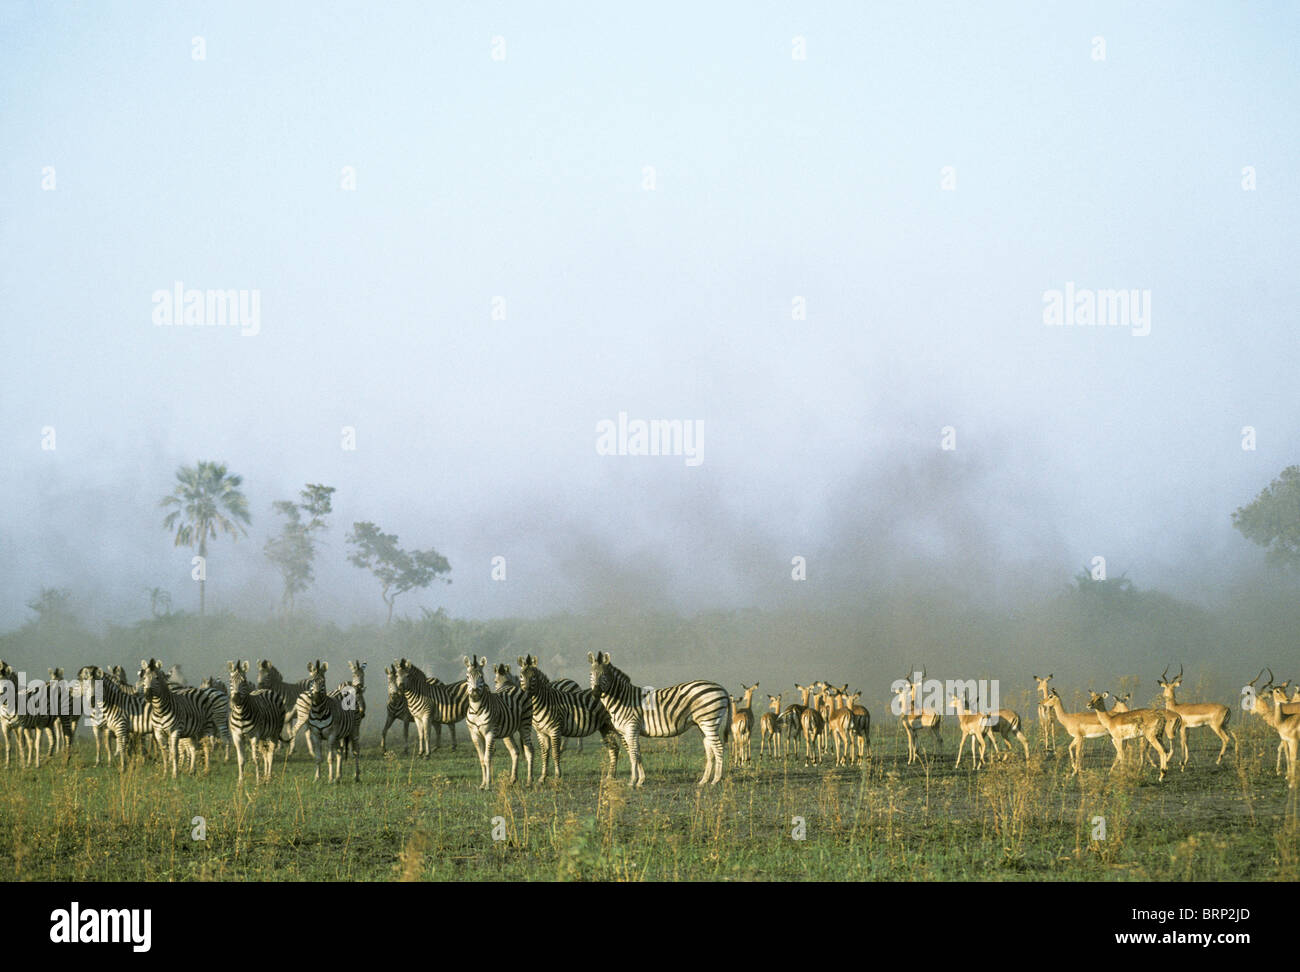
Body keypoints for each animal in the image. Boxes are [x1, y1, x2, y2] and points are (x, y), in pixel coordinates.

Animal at [464, 655, 532, 789]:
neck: (476, 709)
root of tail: (513, 686)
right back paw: (512, 779)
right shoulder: (474, 735)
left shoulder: (490, 733)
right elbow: (482, 759)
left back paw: (529, 781)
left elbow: (487, 758)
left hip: (525, 725)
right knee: (515, 751)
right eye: (467, 676)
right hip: (508, 732)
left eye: (481, 676)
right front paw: (482, 784)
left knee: (529, 751)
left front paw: (488, 785)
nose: (474, 691)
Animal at [588, 651, 730, 786]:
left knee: (718, 748)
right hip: (702, 724)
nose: (595, 693)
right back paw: (704, 780)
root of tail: (722, 688)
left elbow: (633, 755)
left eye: (604, 675)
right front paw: (641, 780)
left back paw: (716, 780)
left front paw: (632, 781)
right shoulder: (630, 731)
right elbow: (638, 754)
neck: (623, 699)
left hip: (709, 721)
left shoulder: (631, 728)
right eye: (591, 674)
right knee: (710, 750)